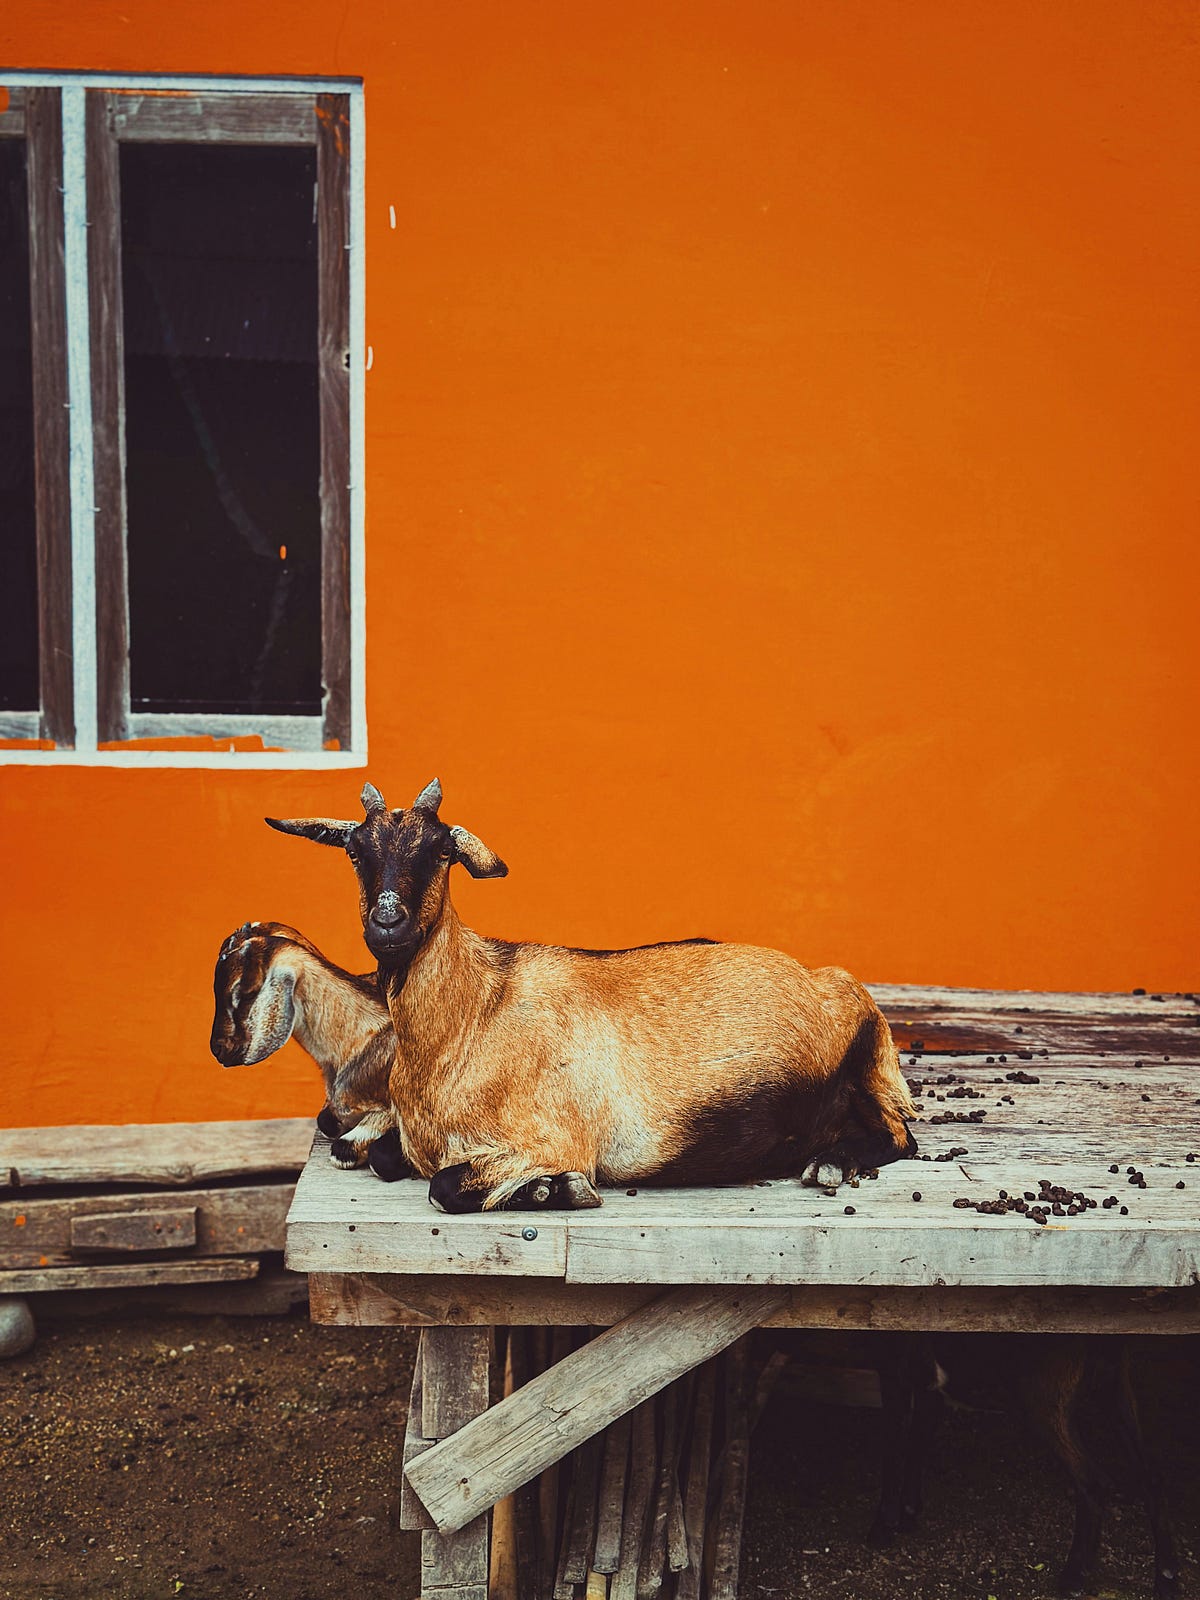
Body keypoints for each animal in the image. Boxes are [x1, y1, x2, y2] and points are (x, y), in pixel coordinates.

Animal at [264, 779, 917, 1212]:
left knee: (900, 1137)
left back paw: (829, 1164)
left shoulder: (553, 1136)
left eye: (440, 850)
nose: (387, 925)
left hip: (865, 1072)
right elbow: (383, 1156)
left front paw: (555, 1188)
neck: (471, 1017)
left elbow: (444, 1186)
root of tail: (829, 980)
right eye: (357, 851)